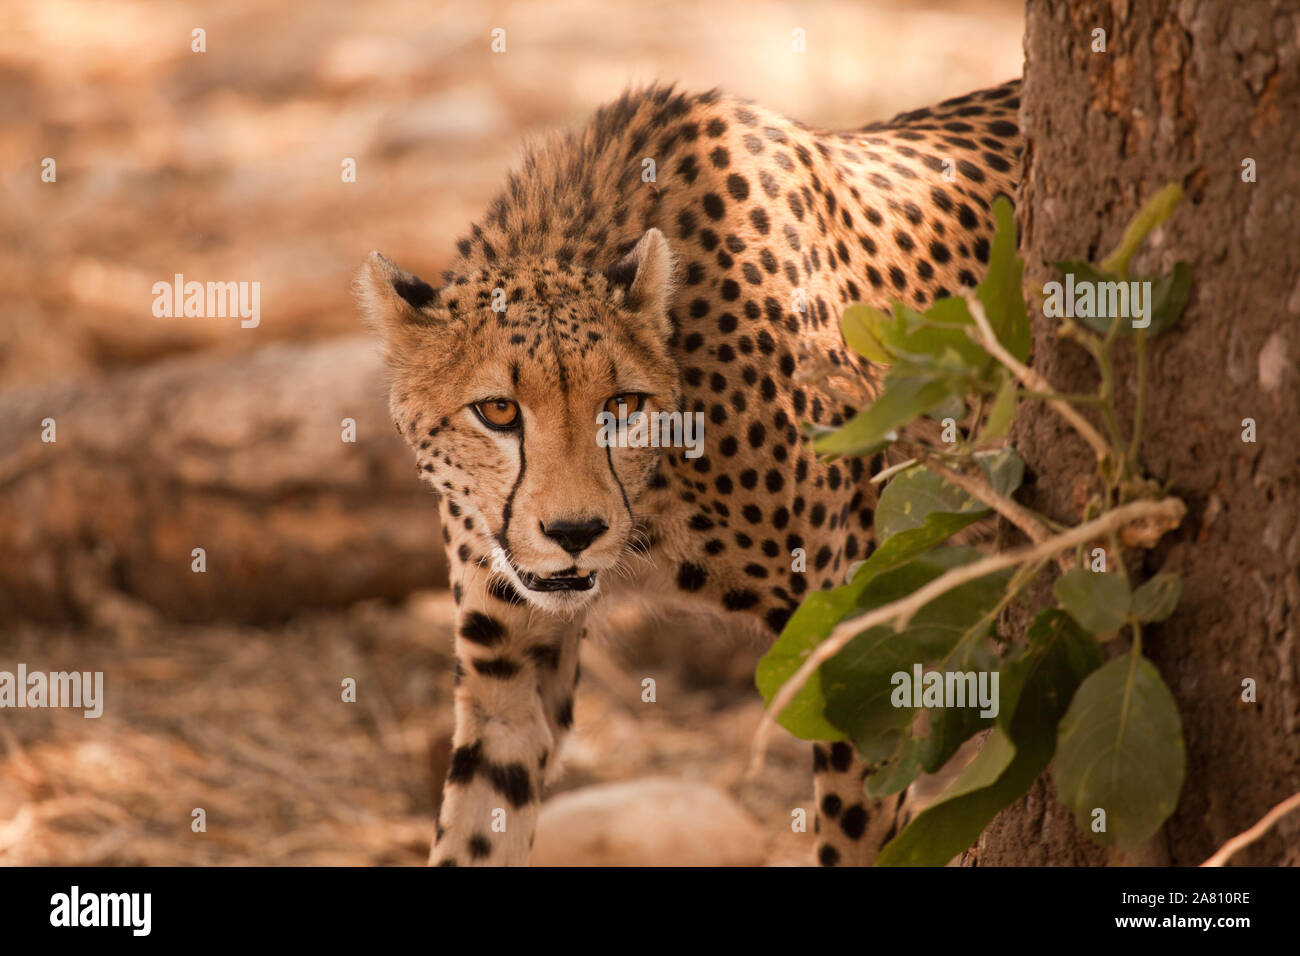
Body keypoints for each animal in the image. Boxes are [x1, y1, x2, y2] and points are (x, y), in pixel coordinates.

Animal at [357, 78, 1021, 866]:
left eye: (621, 404)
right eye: (497, 410)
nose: (575, 533)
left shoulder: (859, 642)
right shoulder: (507, 667)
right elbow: (478, 817)